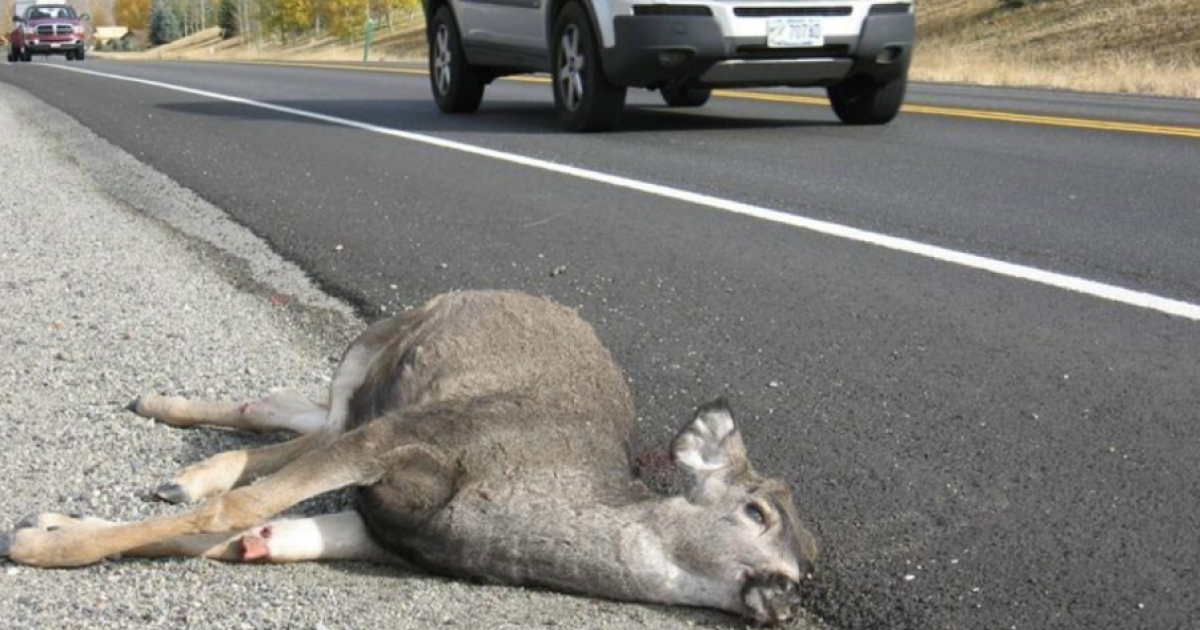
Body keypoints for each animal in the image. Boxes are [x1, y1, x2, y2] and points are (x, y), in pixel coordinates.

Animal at [1, 290, 817, 624]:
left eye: (813, 561)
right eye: (756, 510)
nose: (792, 588)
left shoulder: (386, 526)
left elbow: (240, 534)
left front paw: (54, 523)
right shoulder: (408, 438)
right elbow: (243, 509)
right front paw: (45, 544)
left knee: (293, 416)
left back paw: (177, 452)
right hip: (376, 350)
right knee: (305, 414)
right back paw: (166, 425)